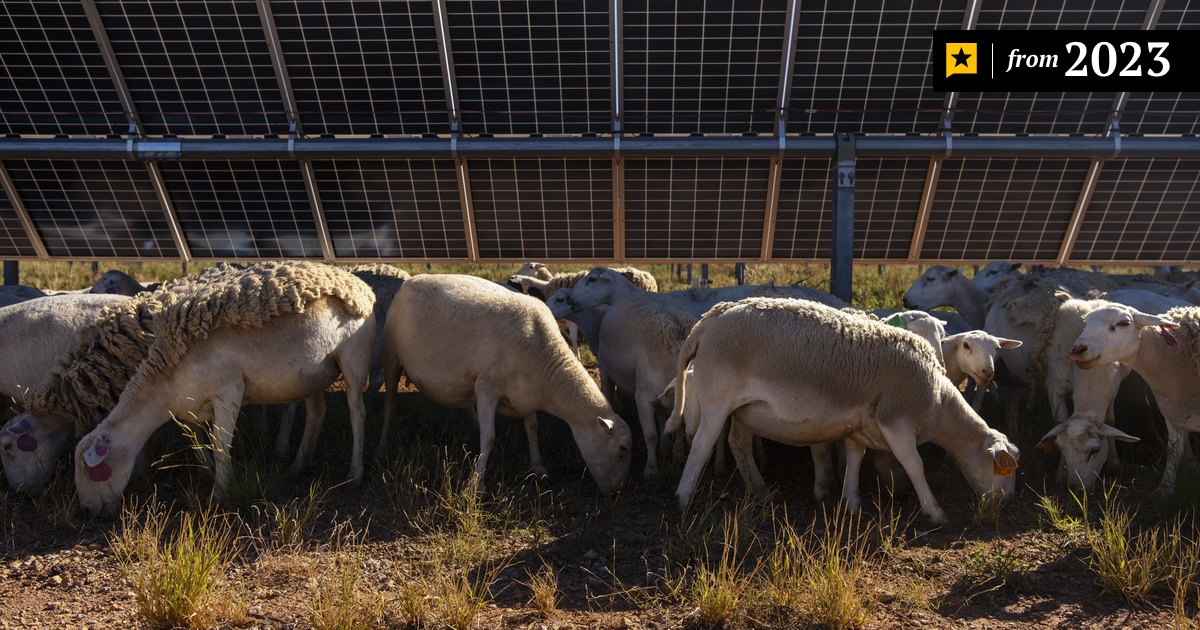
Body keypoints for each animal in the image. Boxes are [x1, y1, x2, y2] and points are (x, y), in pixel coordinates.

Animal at [72, 261, 376, 516]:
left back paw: (354, 474)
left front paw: (219, 493)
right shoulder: (192, 404)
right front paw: (206, 471)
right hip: (314, 373)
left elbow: (220, 445)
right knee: (316, 413)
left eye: (90, 469)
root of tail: (356, 282)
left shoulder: (228, 392)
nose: (88, 511)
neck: (165, 382)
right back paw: (298, 466)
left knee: (357, 414)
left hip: (353, 359)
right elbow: (197, 440)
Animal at [378, 274, 632, 495]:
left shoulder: (526, 395)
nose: (616, 492)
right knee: (389, 404)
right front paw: (476, 485)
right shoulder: (486, 389)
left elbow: (532, 428)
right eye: (622, 448)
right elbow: (489, 437)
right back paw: (382, 446)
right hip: (390, 356)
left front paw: (539, 468)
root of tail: (410, 279)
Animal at [666, 298, 1020, 524]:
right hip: (717, 400)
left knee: (739, 444)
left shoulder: (860, 425)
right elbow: (915, 465)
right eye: (1005, 469)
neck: (937, 399)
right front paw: (934, 512)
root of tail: (710, 319)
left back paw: (760, 491)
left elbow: (854, 458)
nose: (1004, 504)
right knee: (702, 446)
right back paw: (682, 498)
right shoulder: (896, 420)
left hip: (745, 409)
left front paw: (852, 502)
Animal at [1069, 304, 1200, 496]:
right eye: (1086, 321)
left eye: (1123, 323)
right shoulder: (1174, 415)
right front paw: (1165, 489)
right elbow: (1172, 451)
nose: (1078, 349)